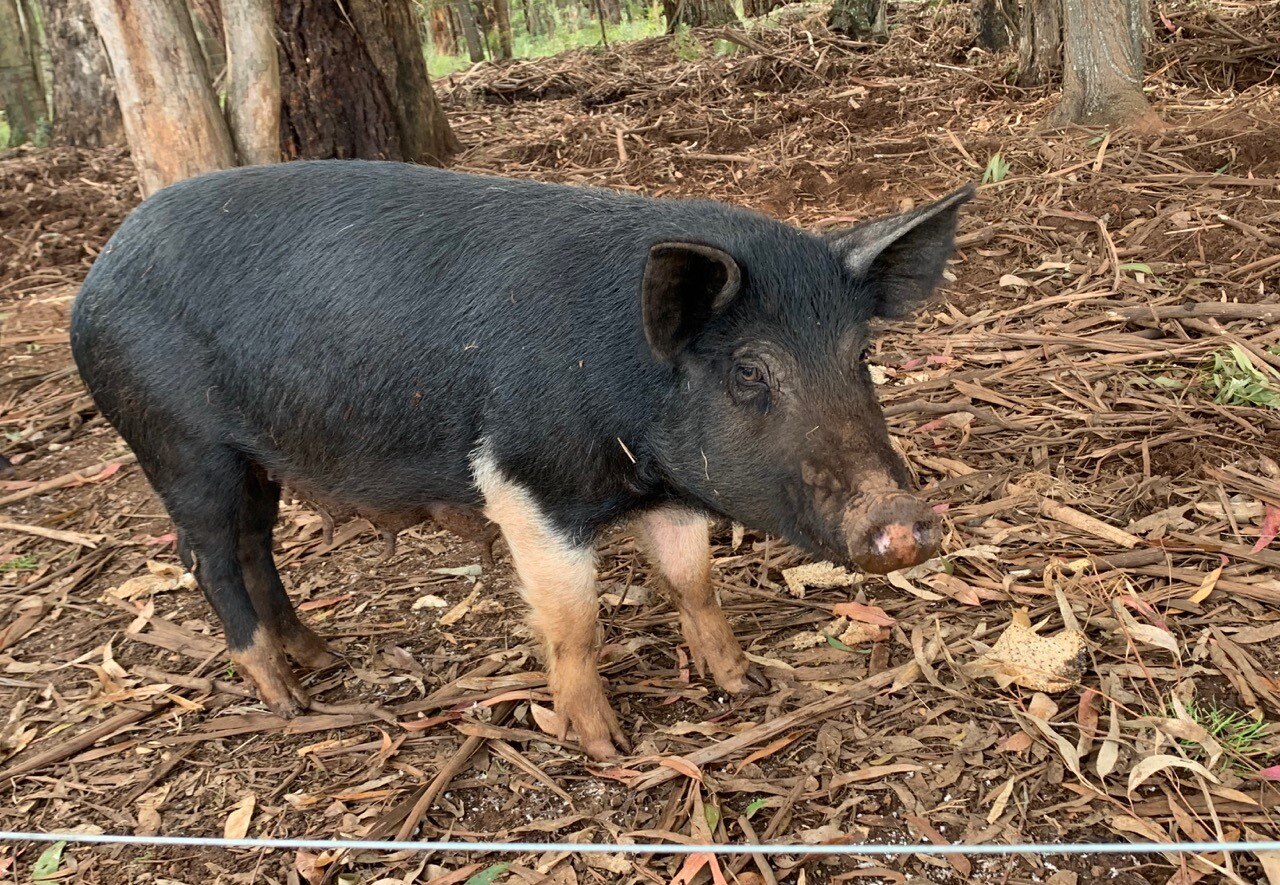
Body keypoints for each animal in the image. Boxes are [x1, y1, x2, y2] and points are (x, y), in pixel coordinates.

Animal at [71, 161, 973, 760]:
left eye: (861, 355)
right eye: (751, 370)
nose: (906, 520)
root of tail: (97, 273)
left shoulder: (672, 495)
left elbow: (695, 584)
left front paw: (744, 685)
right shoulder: (524, 484)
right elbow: (576, 622)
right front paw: (605, 747)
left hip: (252, 458)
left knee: (257, 543)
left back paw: (324, 658)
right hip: (180, 446)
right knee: (210, 556)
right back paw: (289, 701)